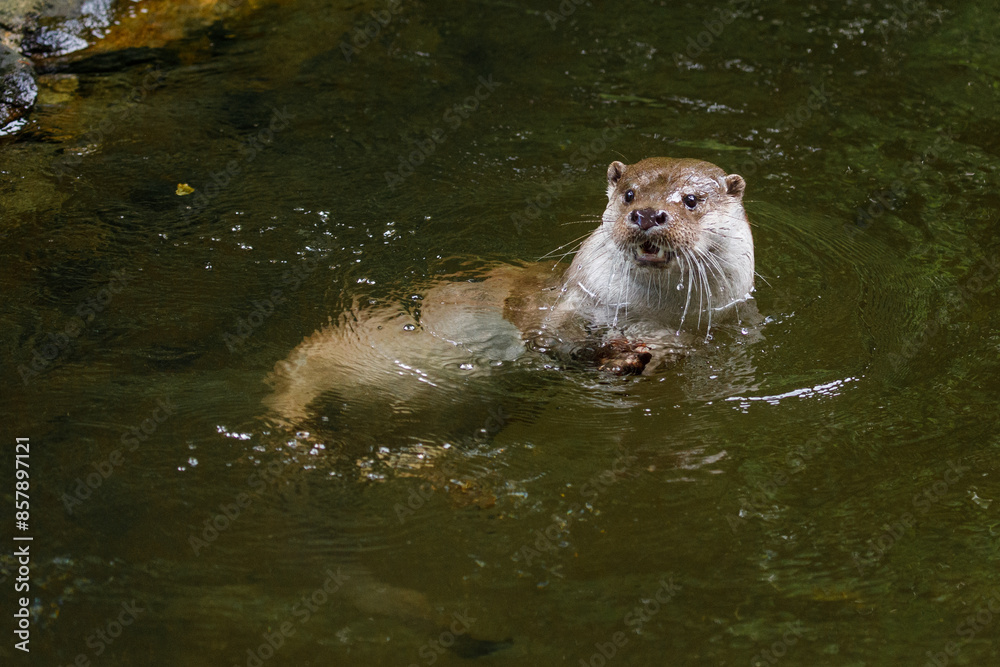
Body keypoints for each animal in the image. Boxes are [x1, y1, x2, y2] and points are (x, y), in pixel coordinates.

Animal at [264, 157, 754, 424]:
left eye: (691, 200)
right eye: (630, 194)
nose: (648, 214)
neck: (638, 310)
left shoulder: (692, 332)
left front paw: (637, 360)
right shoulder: (555, 304)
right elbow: (546, 335)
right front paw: (604, 355)